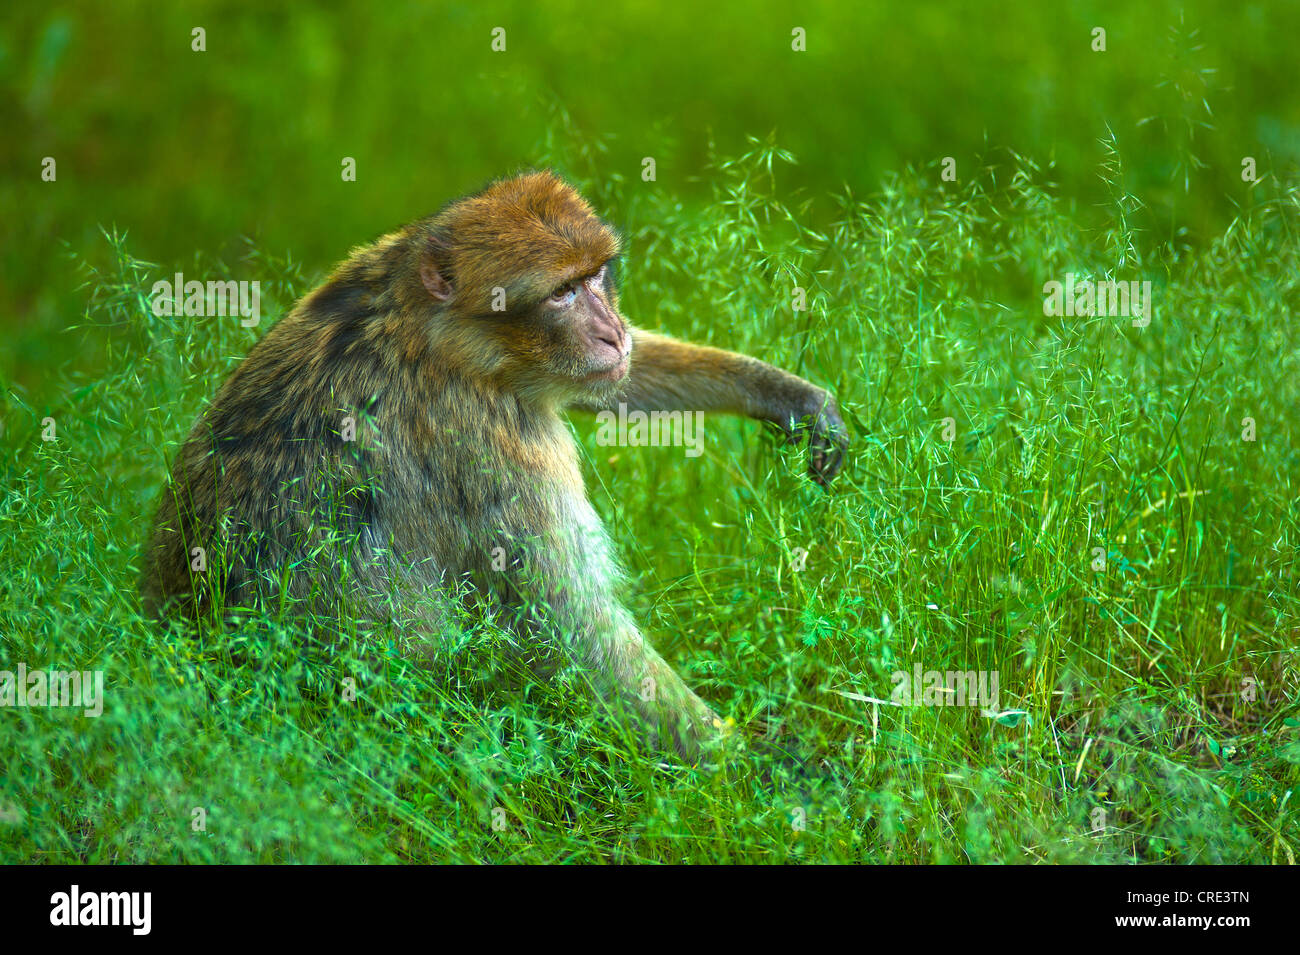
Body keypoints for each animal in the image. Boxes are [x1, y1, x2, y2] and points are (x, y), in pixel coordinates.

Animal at [141, 170, 848, 759]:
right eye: (561, 294)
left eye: (596, 277)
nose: (612, 333)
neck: (436, 333)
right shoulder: (492, 438)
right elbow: (568, 624)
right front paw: (756, 768)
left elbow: (613, 387)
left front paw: (783, 394)